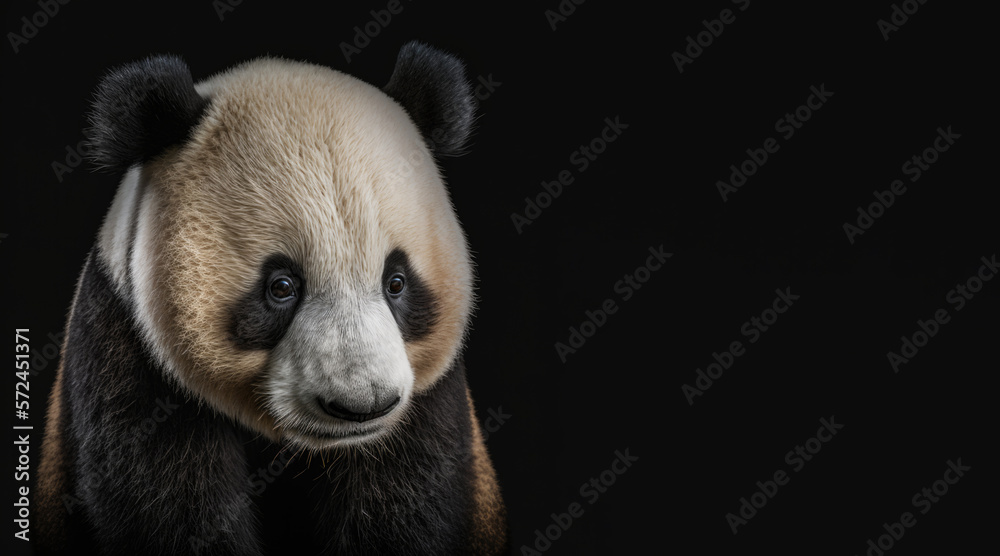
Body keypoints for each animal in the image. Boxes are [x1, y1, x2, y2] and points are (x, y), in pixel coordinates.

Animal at [36, 42, 507, 555]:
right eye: (281, 287)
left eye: (396, 282)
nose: (363, 405)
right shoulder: (126, 360)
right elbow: (163, 504)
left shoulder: (430, 409)